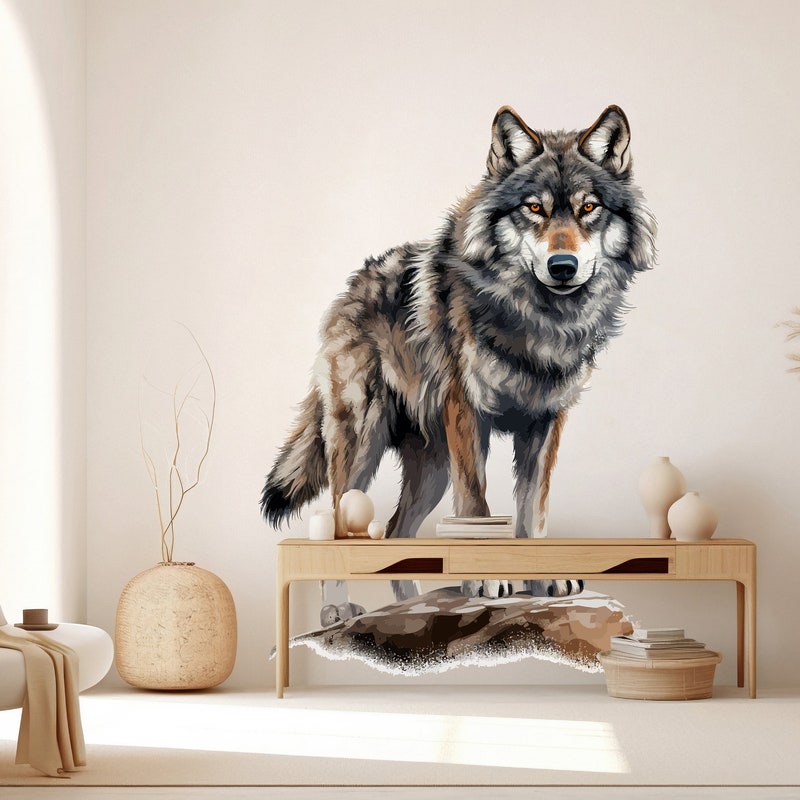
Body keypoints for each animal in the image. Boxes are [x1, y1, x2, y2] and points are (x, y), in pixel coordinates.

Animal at [261, 105, 656, 616]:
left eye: (589, 208)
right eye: (534, 208)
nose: (563, 266)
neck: (537, 321)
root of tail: (349, 289)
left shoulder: (547, 422)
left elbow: (533, 509)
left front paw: (543, 578)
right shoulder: (468, 414)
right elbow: (476, 504)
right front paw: (486, 581)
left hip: (432, 468)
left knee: (397, 534)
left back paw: (410, 609)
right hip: (365, 447)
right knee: (337, 527)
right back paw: (340, 611)